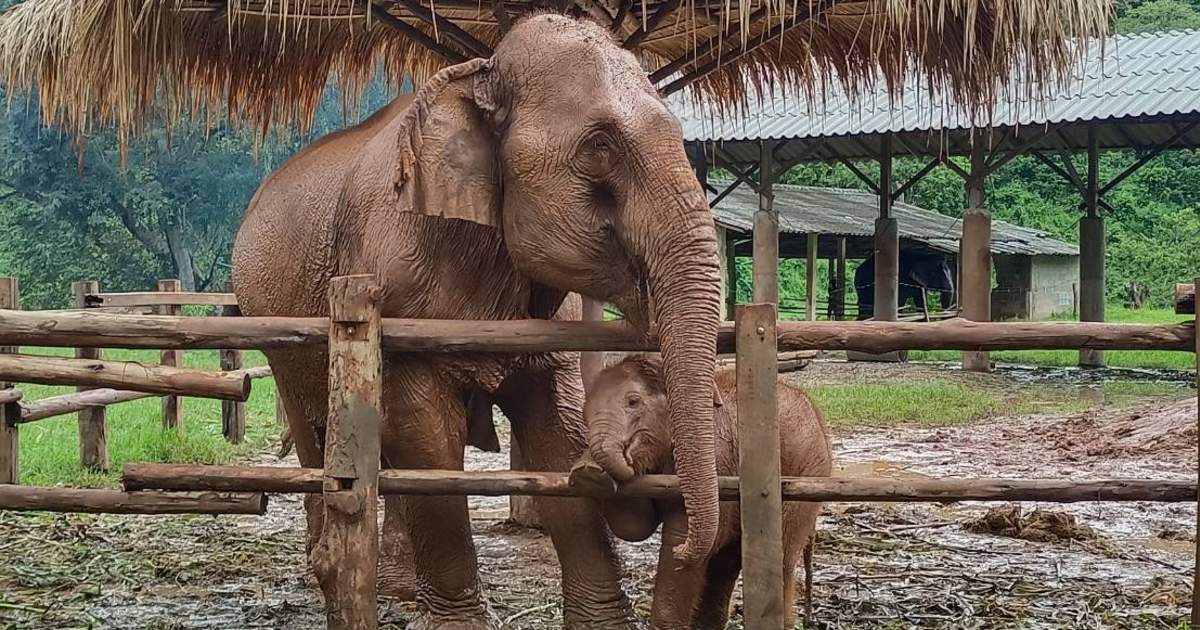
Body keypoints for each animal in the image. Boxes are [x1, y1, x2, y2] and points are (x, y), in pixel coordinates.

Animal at [230, 13, 722, 630]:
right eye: (599, 147)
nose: (685, 548)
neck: (480, 75)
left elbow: (556, 431)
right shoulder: (393, 280)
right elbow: (426, 438)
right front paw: (458, 623)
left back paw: (397, 591)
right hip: (278, 327)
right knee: (315, 433)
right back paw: (325, 573)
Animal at [582, 354, 832, 630]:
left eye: (633, 402)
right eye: (584, 413)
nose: (587, 465)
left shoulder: (716, 463)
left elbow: (681, 535)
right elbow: (633, 524)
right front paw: (588, 472)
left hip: (808, 472)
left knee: (783, 556)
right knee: (725, 563)